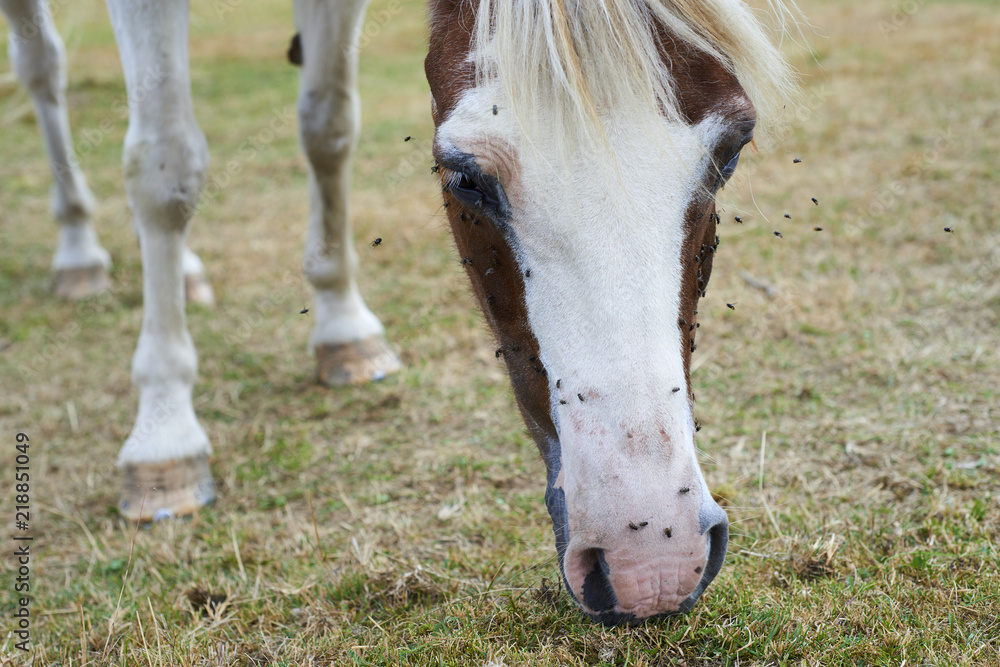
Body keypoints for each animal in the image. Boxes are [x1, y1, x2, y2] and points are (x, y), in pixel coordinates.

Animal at [3, 0, 794, 625]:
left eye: (731, 149)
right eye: (464, 177)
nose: (650, 562)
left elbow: (327, 124)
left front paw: (344, 331)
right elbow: (165, 171)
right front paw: (164, 435)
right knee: (42, 67)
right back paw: (79, 254)